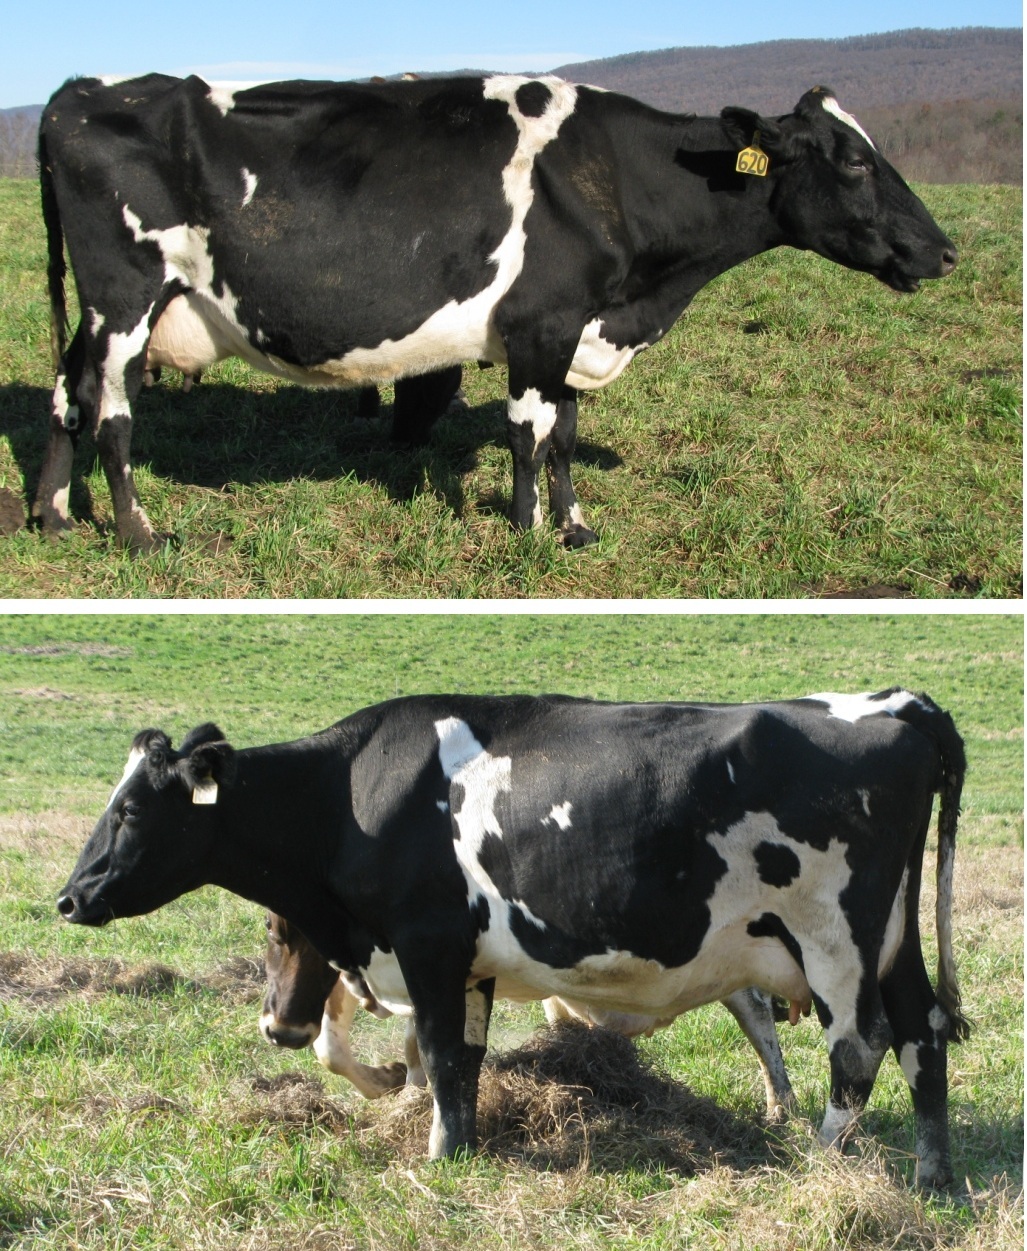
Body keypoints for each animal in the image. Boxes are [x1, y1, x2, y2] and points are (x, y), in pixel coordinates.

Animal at [33, 73, 957, 553]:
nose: (944, 251)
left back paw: (51, 514)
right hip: (124, 294)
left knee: (67, 395)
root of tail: (84, 90)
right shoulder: (539, 323)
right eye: (851, 161)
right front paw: (523, 530)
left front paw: (575, 525)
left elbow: (566, 432)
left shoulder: (574, 324)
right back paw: (139, 532)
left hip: (101, 312)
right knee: (113, 414)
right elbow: (525, 431)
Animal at [260, 909, 800, 1116]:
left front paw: (412, 1093)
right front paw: (392, 1083)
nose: (278, 1030)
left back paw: (782, 1107)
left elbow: (417, 1043)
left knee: (757, 1016)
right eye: (270, 926)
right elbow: (331, 1048)